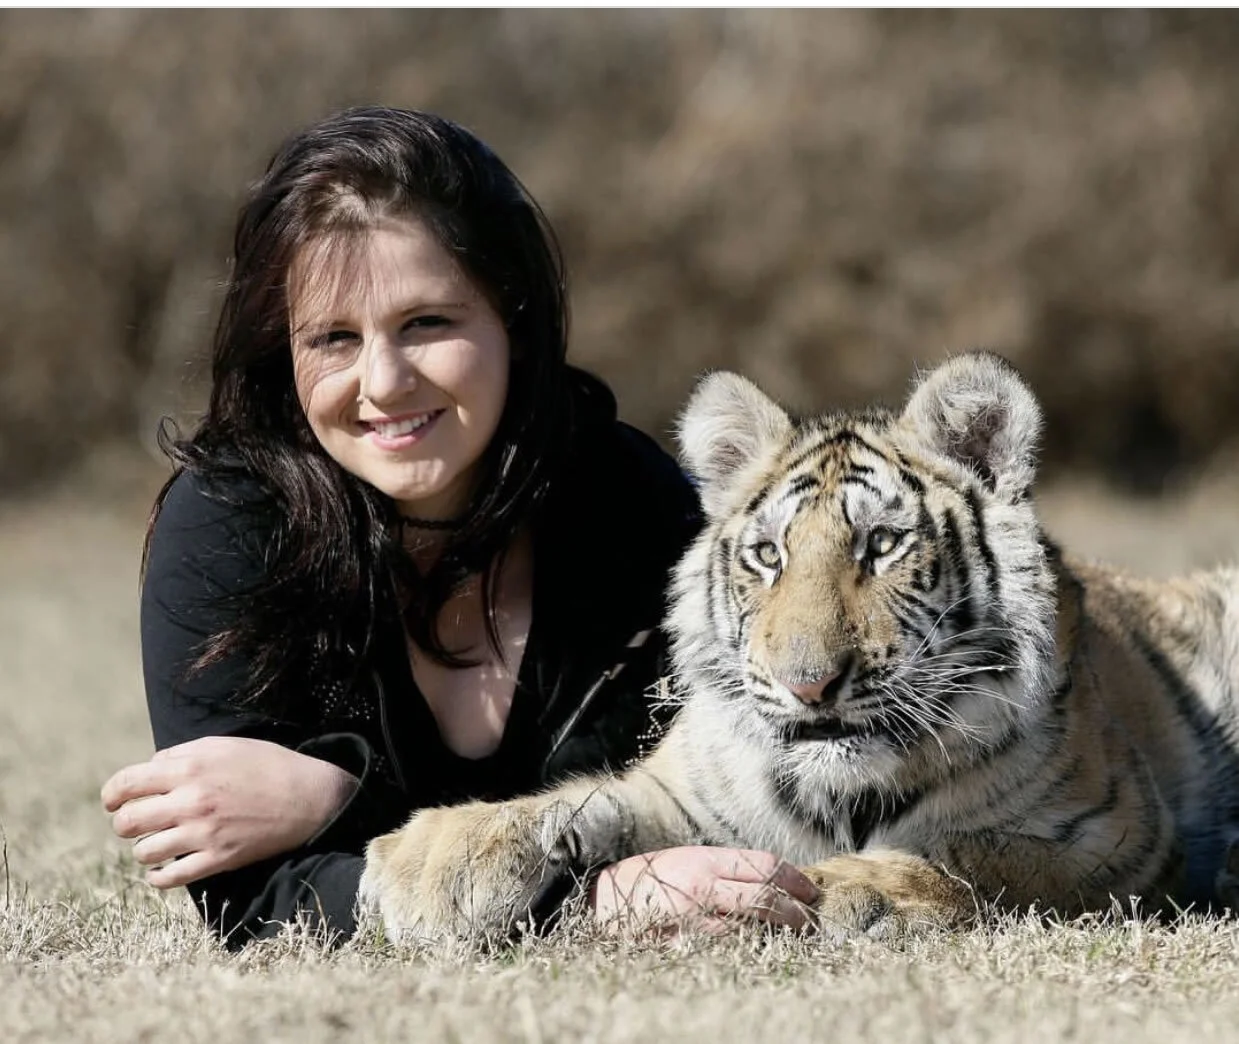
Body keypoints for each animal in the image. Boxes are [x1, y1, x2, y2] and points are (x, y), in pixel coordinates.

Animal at [358, 350, 1239, 942]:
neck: (841, 796)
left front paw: (857, 889)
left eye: (880, 546)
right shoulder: (687, 792)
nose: (808, 685)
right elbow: (580, 796)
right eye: (767, 555)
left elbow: (979, 853)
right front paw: (435, 862)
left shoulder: (1116, 833)